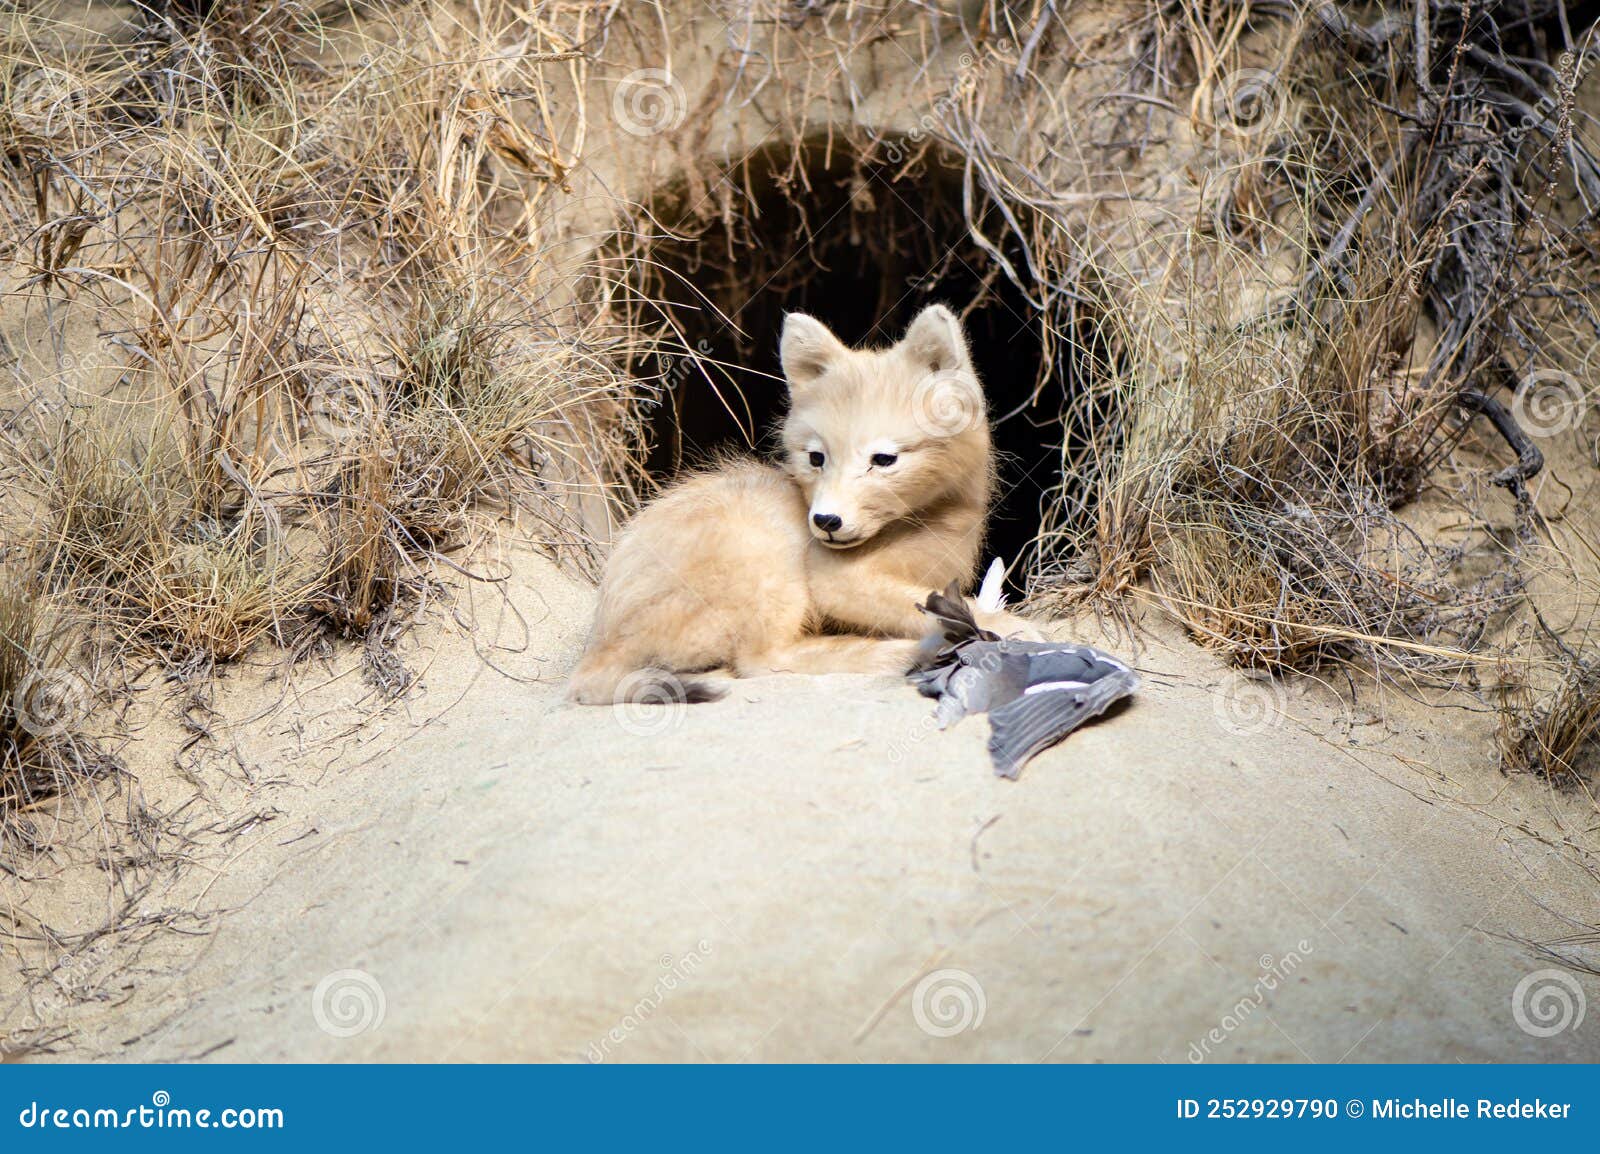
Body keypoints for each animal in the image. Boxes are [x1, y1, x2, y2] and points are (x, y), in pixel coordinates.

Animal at [568, 303, 1033, 705]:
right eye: (816, 458)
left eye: (883, 460)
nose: (826, 521)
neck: (930, 525)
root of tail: (597, 646)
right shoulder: (837, 582)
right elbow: (949, 610)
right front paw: (1006, 629)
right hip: (769, 557)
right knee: (760, 662)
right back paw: (906, 653)